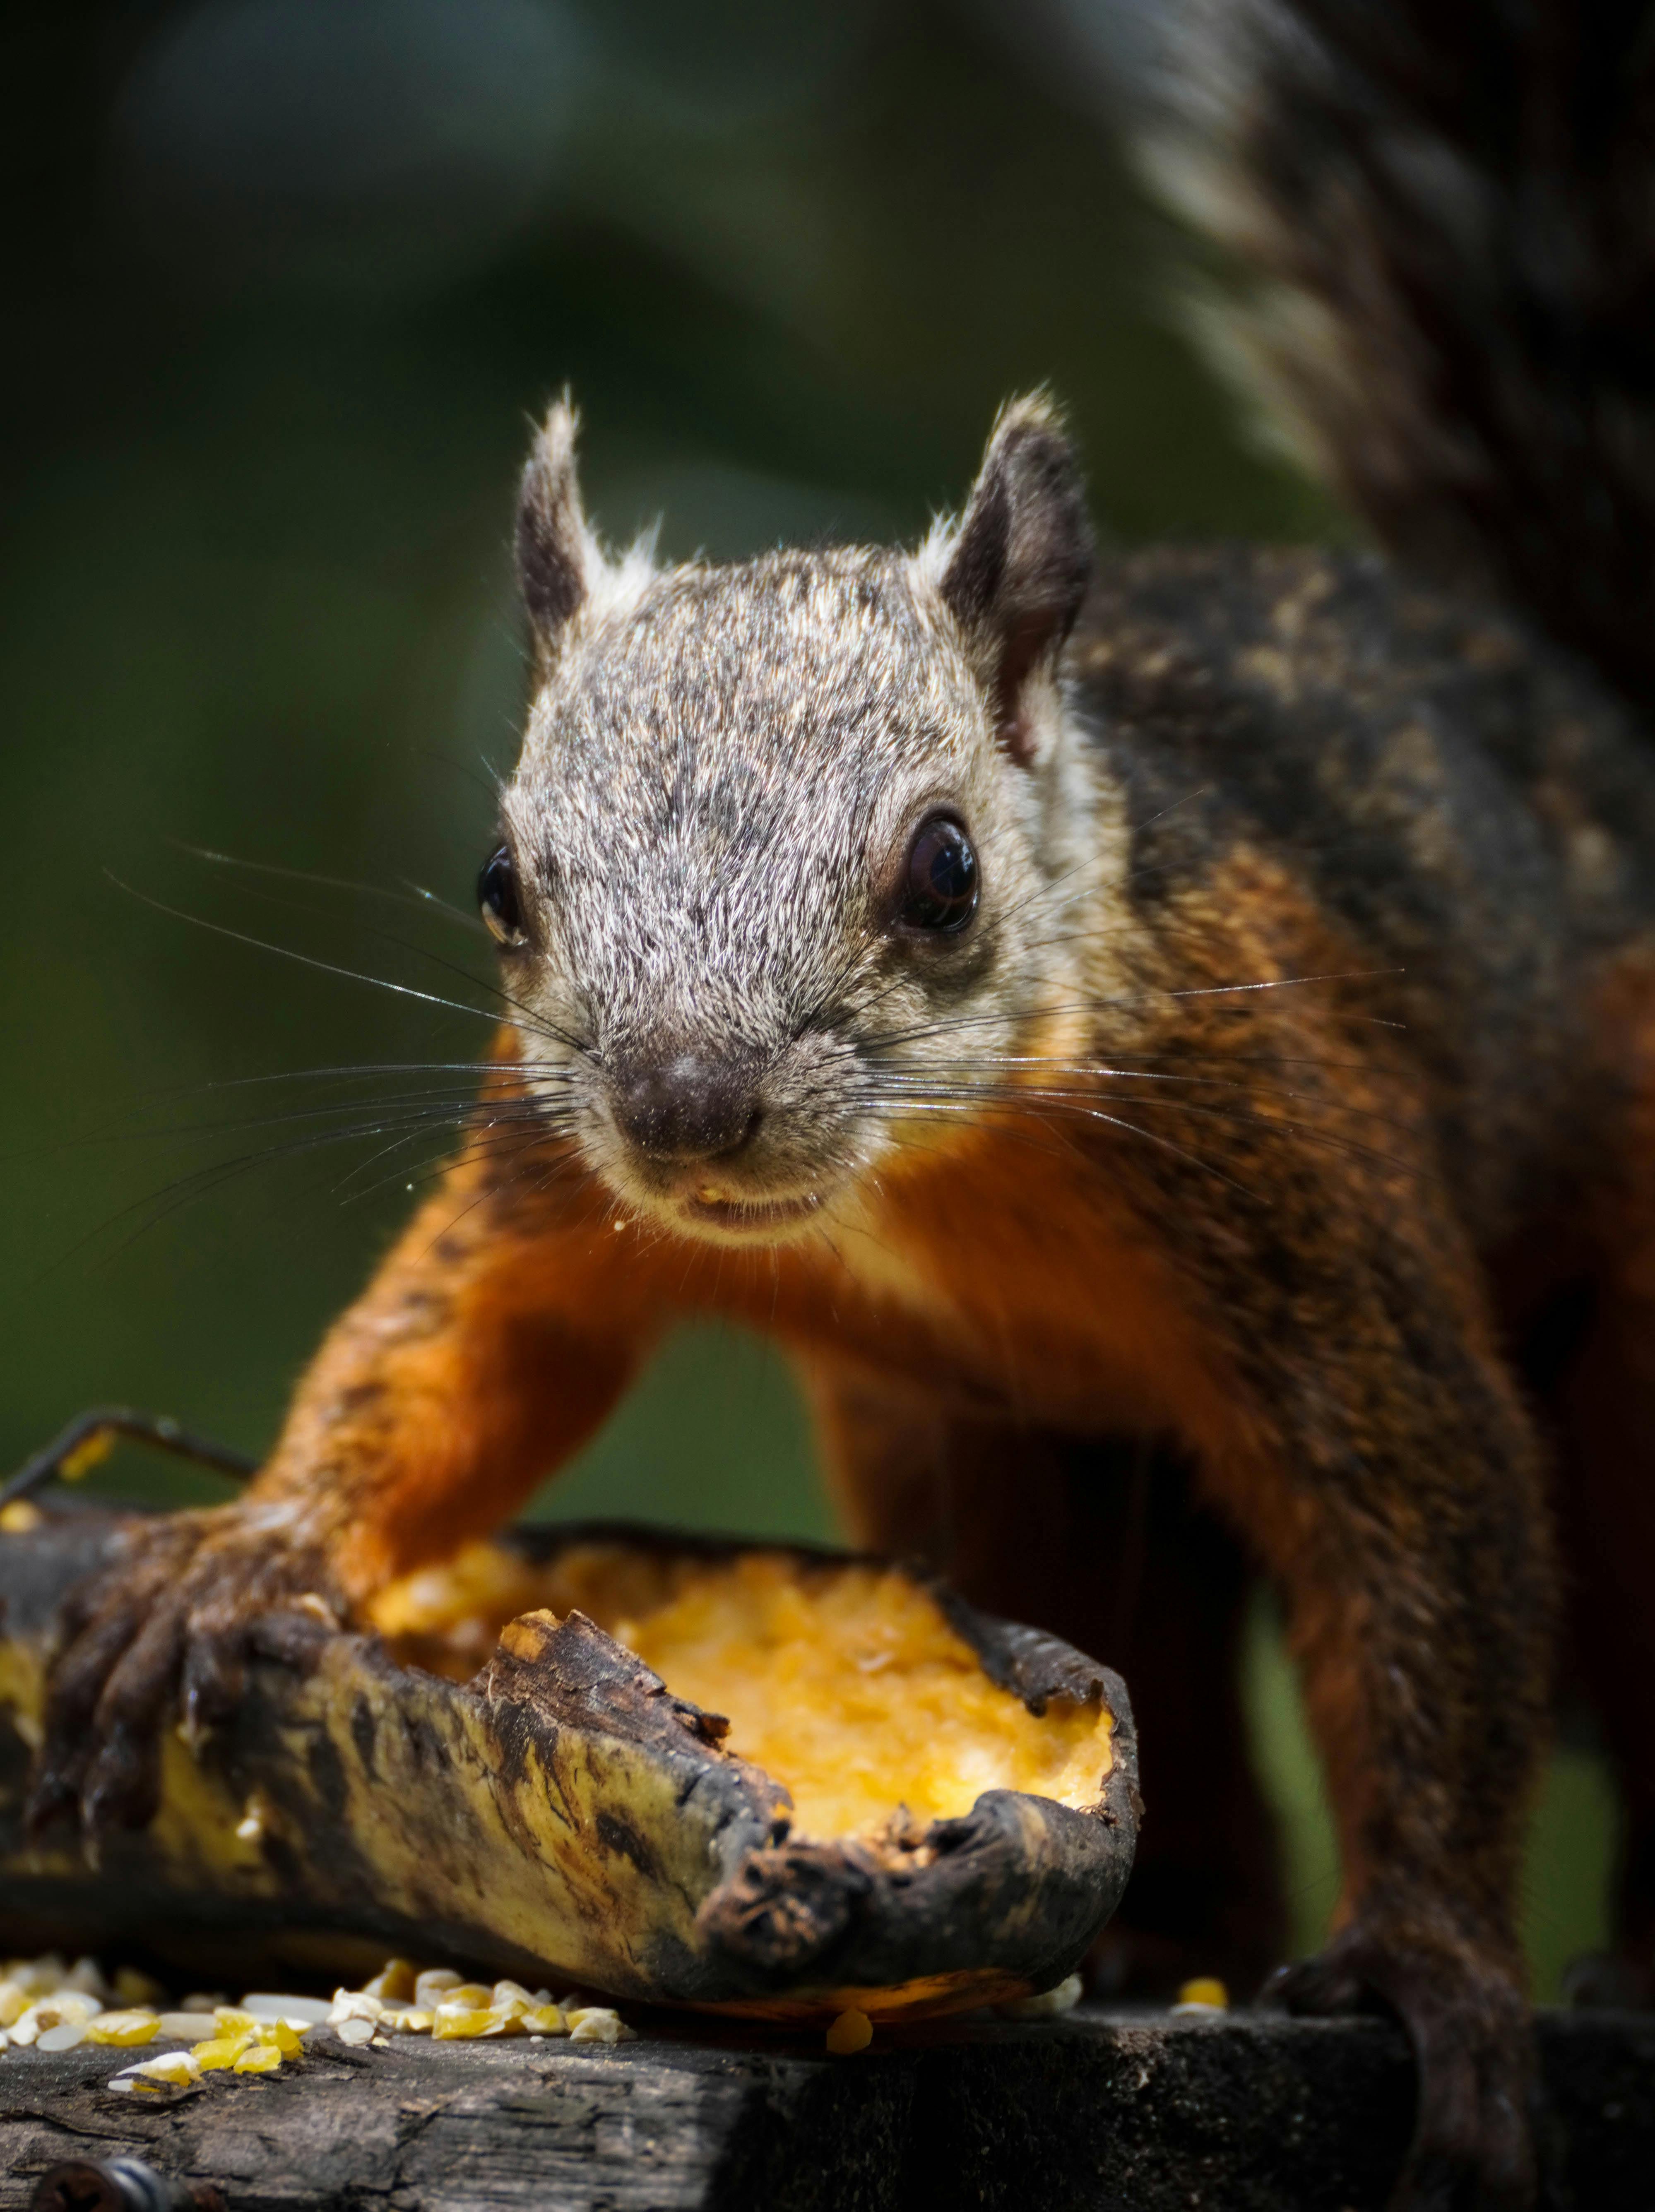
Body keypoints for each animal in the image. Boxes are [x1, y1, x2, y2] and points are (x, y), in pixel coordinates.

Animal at [29, 2, 1655, 2203]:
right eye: (500, 880)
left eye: (946, 866)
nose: (684, 1104)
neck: (918, 1180)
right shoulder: (548, 1176)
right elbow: (462, 1356)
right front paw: (246, 1552)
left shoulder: (1299, 1164)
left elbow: (1420, 1531)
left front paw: (1427, 1972)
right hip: (990, 1463)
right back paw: (1153, 1931)